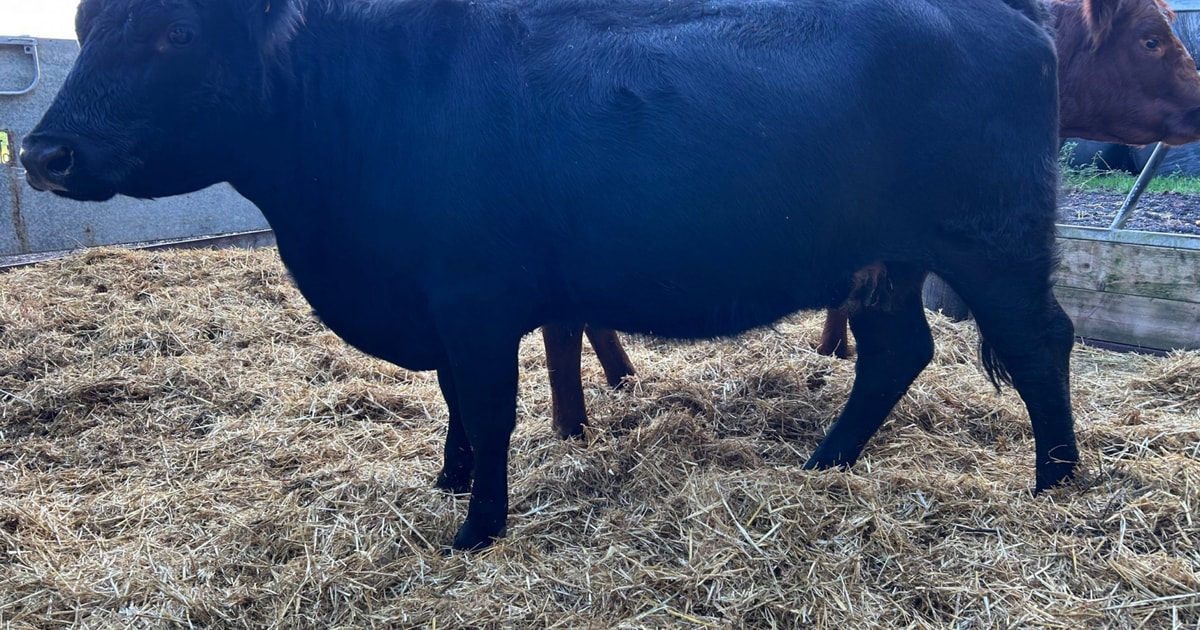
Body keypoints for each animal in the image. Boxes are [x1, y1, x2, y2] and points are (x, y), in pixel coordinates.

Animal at [22, 0, 1074, 551]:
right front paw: (448, 481)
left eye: (175, 32)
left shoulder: (475, 296)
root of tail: (1009, 14)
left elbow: (489, 407)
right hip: (883, 259)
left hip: (991, 239)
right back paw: (825, 462)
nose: (43, 152)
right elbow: (454, 397)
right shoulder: (440, 303)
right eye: (87, 21)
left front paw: (477, 527)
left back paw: (1056, 483)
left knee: (1039, 343)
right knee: (899, 351)